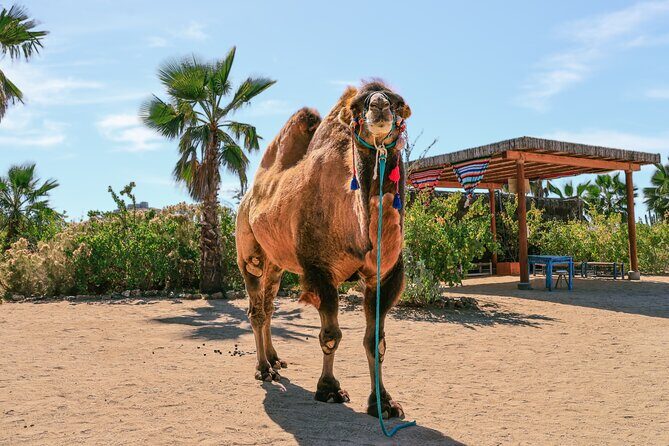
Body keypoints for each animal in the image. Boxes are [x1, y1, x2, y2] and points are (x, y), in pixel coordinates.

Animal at [236, 81, 411, 419]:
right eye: (356, 106)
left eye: (399, 102)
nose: (379, 106)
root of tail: (248, 198)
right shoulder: (319, 271)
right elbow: (331, 336)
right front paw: (329, 390)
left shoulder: (385, 276)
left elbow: (376, 341)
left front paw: (384, 404)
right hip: (248, 251)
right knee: (256, 308)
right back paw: (263, 369)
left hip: (277, 263)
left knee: (269, 304)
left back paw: (275, 360)